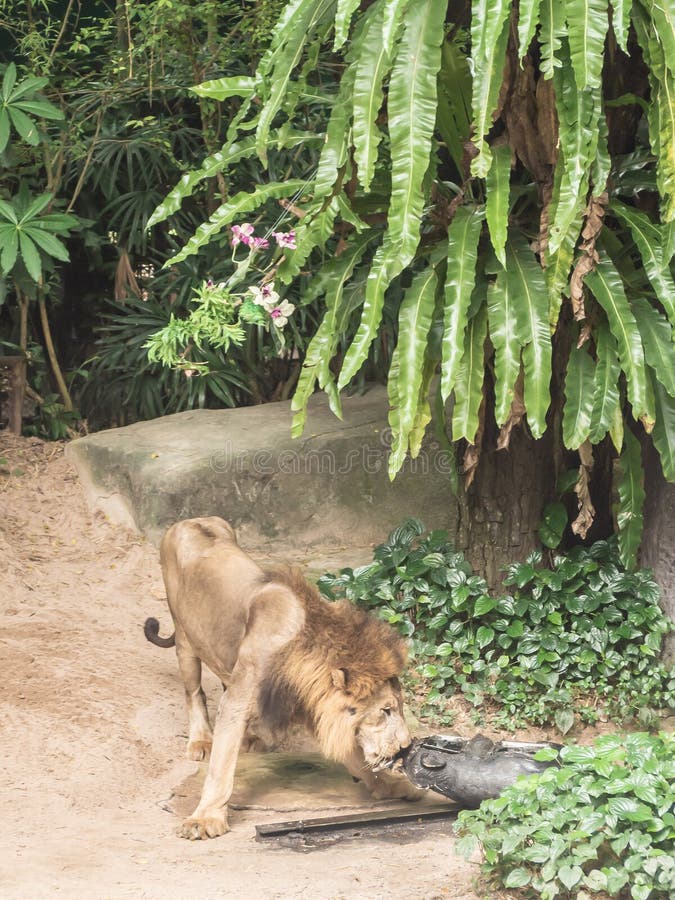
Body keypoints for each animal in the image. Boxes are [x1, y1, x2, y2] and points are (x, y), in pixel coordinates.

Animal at [144, 516, 419, 840]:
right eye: (385, 710)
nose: (406, 747)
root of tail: (190, 519)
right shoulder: (239, 700)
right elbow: (221, 765)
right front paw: (205, 818)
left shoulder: (310, 705)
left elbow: (357, 759)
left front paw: (390, 786)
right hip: (186, 638)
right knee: (194, 692)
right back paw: (201, 740)